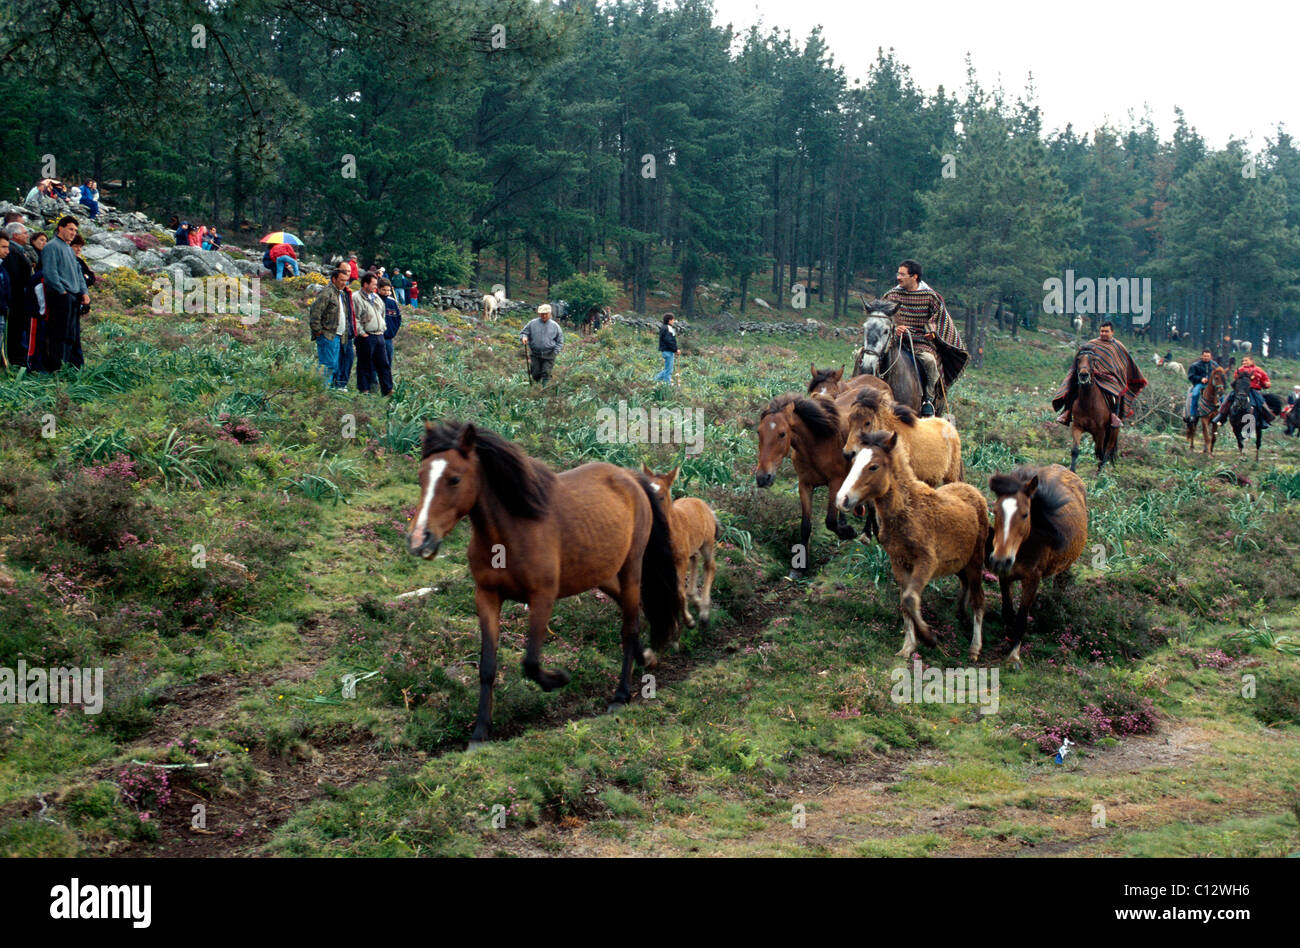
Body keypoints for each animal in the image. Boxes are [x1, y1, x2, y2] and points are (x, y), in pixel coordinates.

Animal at [406, 422, 681, 745]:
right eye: (421, 477)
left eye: (454, 479)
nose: (419, 540)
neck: (511, 532)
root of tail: (630, 478)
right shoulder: (486, 596)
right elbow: (487, 666)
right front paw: (480, 732)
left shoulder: (542, 597)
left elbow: (531, 662)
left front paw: (558, 679)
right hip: (602, 575)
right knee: (633, 611)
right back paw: (646, 657)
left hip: (631, 569)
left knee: (630, 626)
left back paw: (620, 695)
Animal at [641, 464, 719, 630]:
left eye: (661, 497)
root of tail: (704, 505)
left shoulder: (679, 563)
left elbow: (678, 593)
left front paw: (688, 621)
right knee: (695, 559)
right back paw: (695, 599)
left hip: (707, 542)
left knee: (710, 566)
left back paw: (704, 613)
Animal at [754, 392, 860, 579]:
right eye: (759, 432)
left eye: (782, 433)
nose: (762, 477)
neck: (817, 444)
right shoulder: (805, 485)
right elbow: (805, 526)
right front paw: (799, 567)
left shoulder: (835, 482)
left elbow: (830, 521)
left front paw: (848, 533)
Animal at [835, 430, 987, 659]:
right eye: (854, 463)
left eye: (873, 466)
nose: (842, 499)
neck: (907, 510)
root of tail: (974, 491)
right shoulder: (898, 562)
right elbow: (905, 603)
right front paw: (908, 646)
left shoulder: (926, 561)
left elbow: (909, 599)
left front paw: (929, 638)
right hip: (959, 563)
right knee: (965, 584)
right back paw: (961, 614)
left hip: (975, 562)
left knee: (979, 600)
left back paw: (974, 648)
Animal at [987, 465, 1088, 670]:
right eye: (995, 511)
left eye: (1026, 514)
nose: (1000, 560)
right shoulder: (1005, 575)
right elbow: (1008, 611)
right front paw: (1008, 638)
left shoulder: (1032, 579)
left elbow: (1021, 617)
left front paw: (1014, 656)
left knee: (1060, 582)